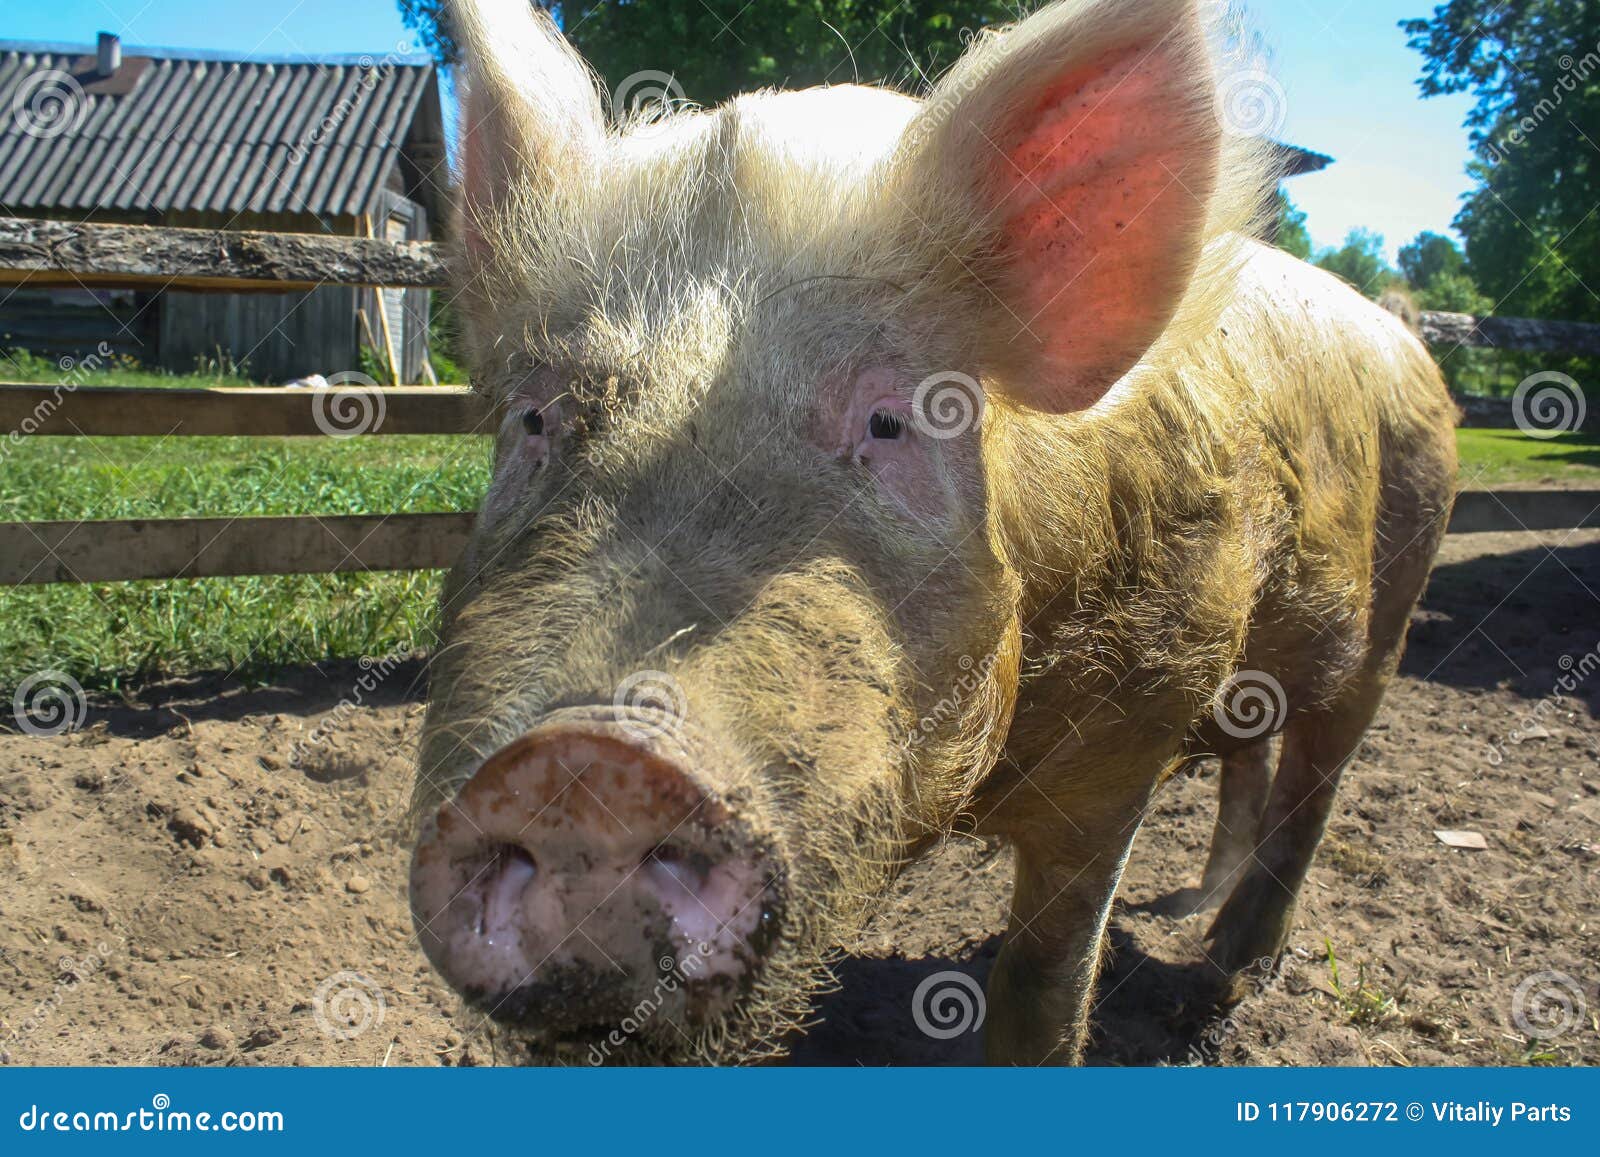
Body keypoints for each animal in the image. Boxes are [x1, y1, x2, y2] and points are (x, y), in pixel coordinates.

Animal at [408, 0, 1458, 1064]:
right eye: (533, 418)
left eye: (890, 422)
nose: (584, 764)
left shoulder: (1135, 730)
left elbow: (1043, 975)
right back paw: (1185, 913)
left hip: (1403, 586)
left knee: (1319, 776)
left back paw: (1223, 973)